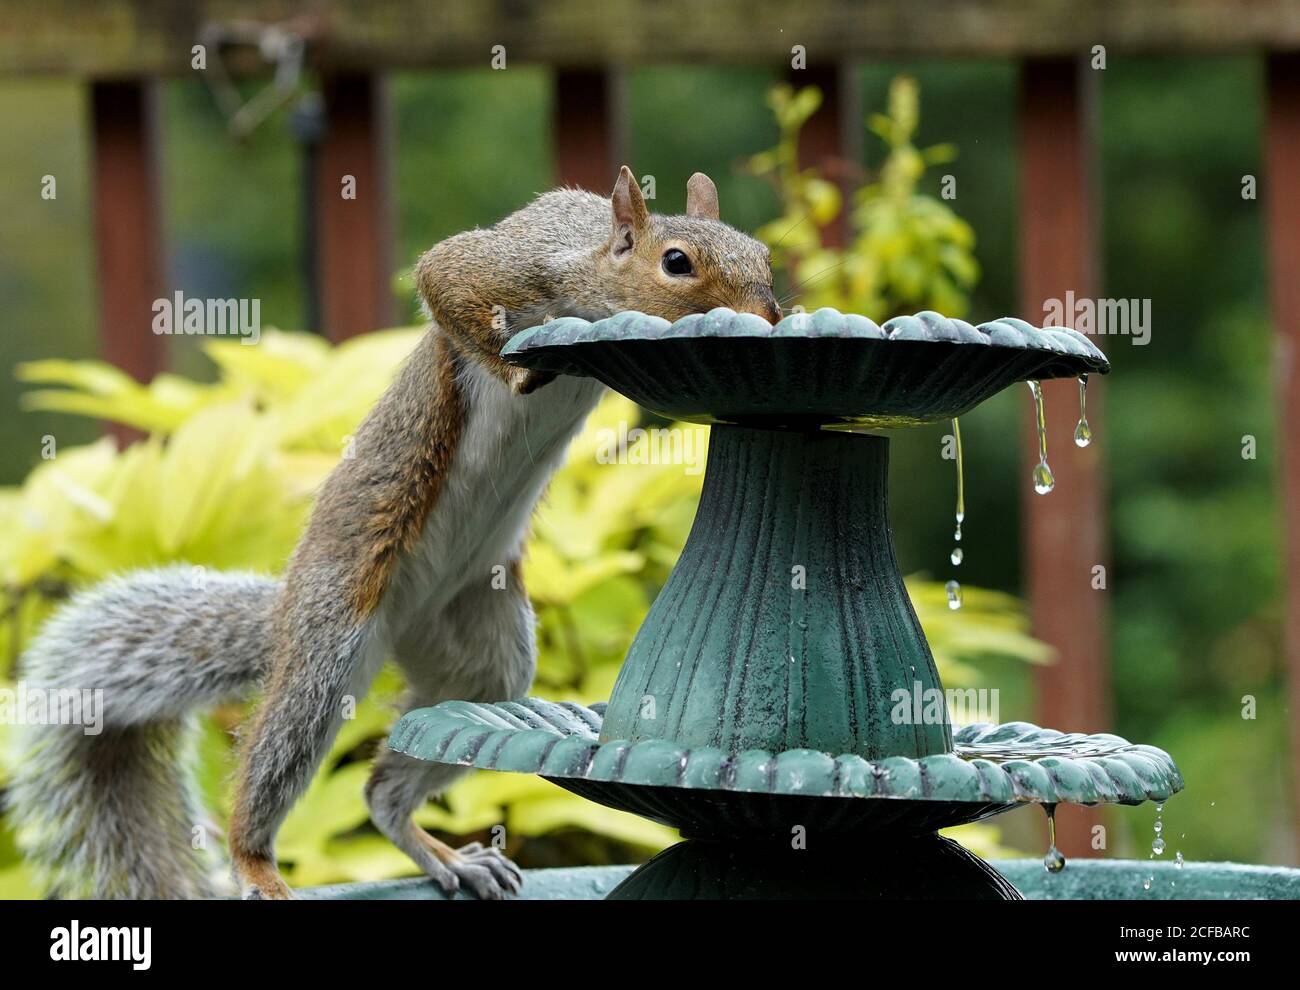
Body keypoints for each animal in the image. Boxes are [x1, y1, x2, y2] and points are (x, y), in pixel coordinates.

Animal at [8, 166, 780, 900]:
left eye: (763, 256)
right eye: (676, 263)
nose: (769, 317)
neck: (592, 257)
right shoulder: (528, 258)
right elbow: (445, 272)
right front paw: (516, 369)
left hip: (482, 658)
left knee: (388, 788)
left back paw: (444, 854)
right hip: (330, 645)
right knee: (277, 756)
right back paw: (256, 863)